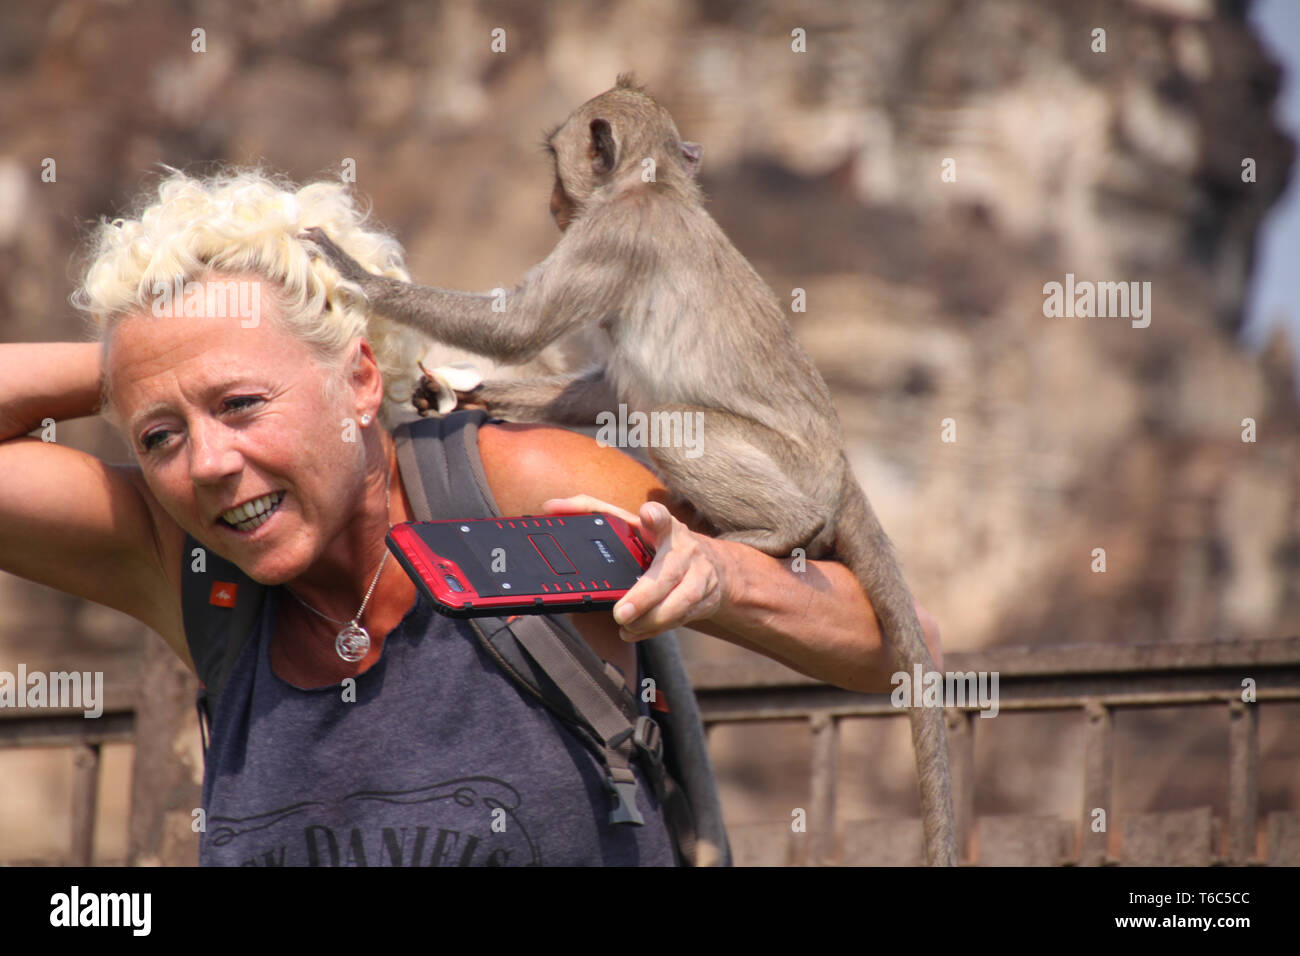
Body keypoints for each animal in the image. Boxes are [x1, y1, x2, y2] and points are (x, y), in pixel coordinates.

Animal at [303, 73, 958, 866]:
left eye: (559, 167)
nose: (554, 205)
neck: (660, 187)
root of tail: (841, 466)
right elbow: (603, 389)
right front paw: (460, 394)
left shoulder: (610, 236)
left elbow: (521, 331)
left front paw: (357, 277)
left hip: (793, 467)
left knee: (668, 423)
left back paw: (779, 531)